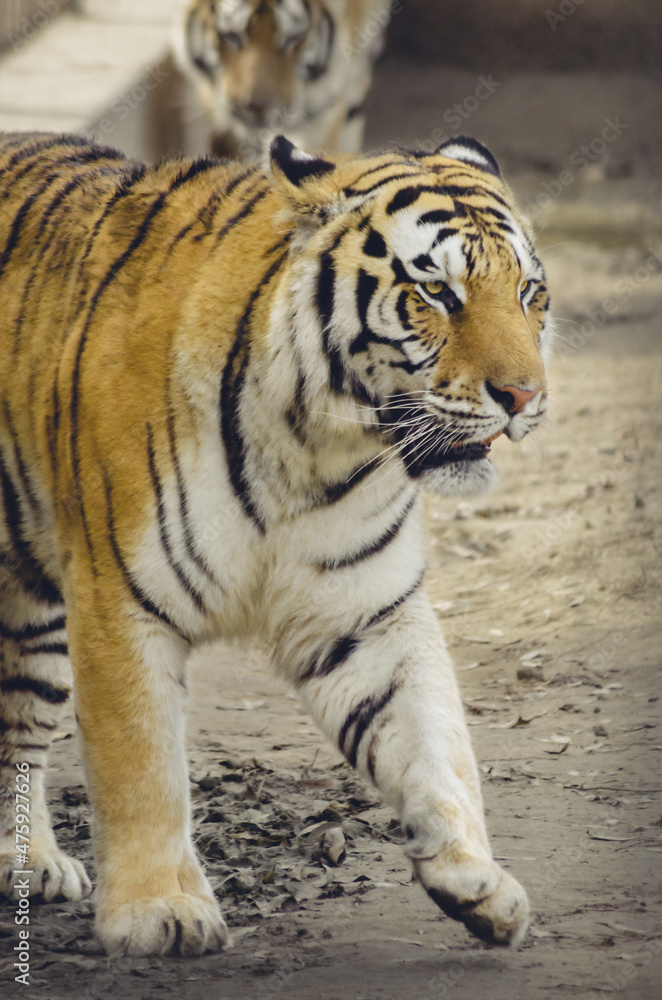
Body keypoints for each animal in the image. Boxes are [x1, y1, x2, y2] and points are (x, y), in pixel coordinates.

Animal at [0, 130, 552, 957]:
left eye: (529, 293)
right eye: (436, 293)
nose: (524, 396)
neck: (317, 445)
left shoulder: (366, 613)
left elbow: (435, 742)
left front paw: (476, 880)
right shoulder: (119, 598)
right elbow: (142, 765)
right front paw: (160, 911)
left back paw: (33, 864)